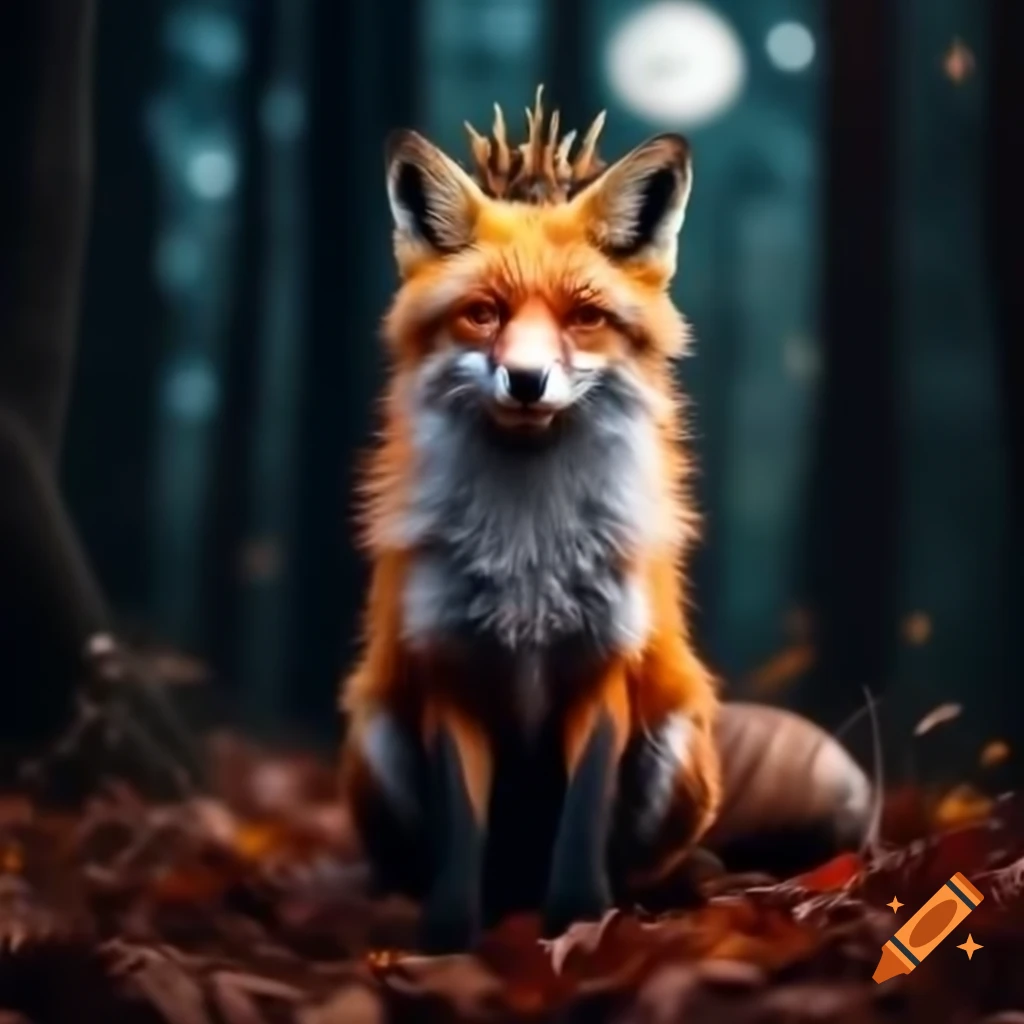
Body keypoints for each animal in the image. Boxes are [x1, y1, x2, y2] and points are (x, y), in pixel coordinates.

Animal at [339, 87, 723, 954]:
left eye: (583, 317)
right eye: (484, 314)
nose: (525, 379)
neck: (529, 555)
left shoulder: (603, 666)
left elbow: (582, 817)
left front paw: (581, 921)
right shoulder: (451, 667)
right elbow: (462, 826)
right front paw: (448, 936)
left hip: (677, 745)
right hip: (377, 735)